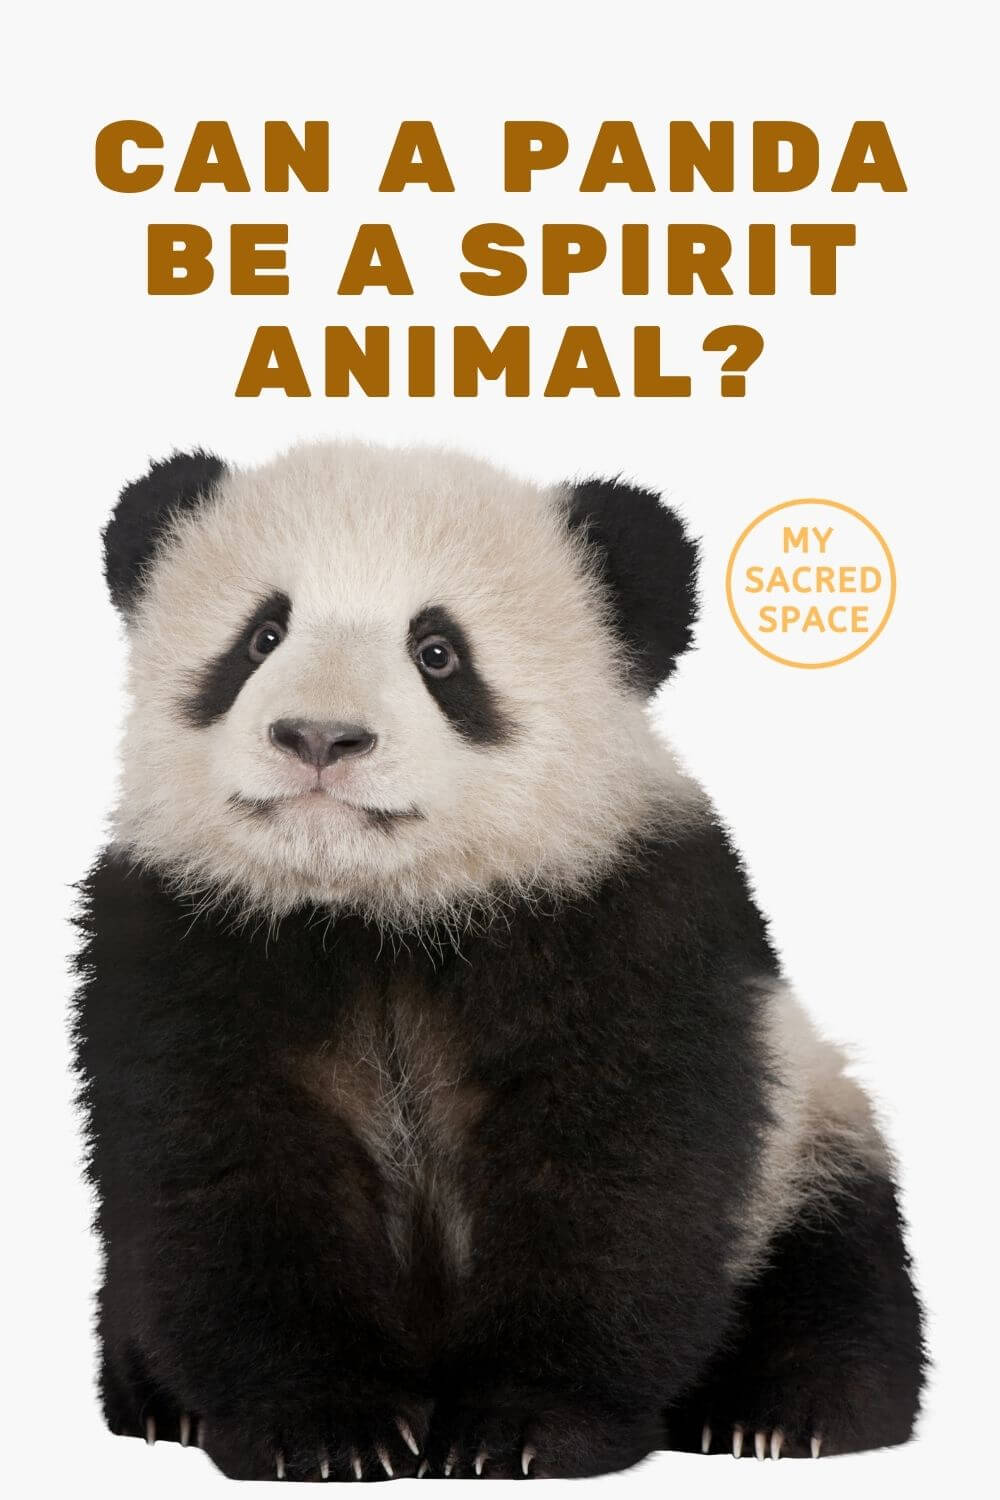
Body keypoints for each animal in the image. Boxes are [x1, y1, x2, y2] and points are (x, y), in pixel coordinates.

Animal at [73, 441, 925, 1481]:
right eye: (261, 637)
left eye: (438, 652)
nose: (319, 737)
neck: (377, 907)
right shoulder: (188, 933)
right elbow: (226, 1169)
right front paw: (325, 1425)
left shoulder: (623, 913)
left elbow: (615, 1170)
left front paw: (523, 1426)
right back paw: (157, 1402)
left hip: (810, 1132)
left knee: (836, 1259)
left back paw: (785, 1413)